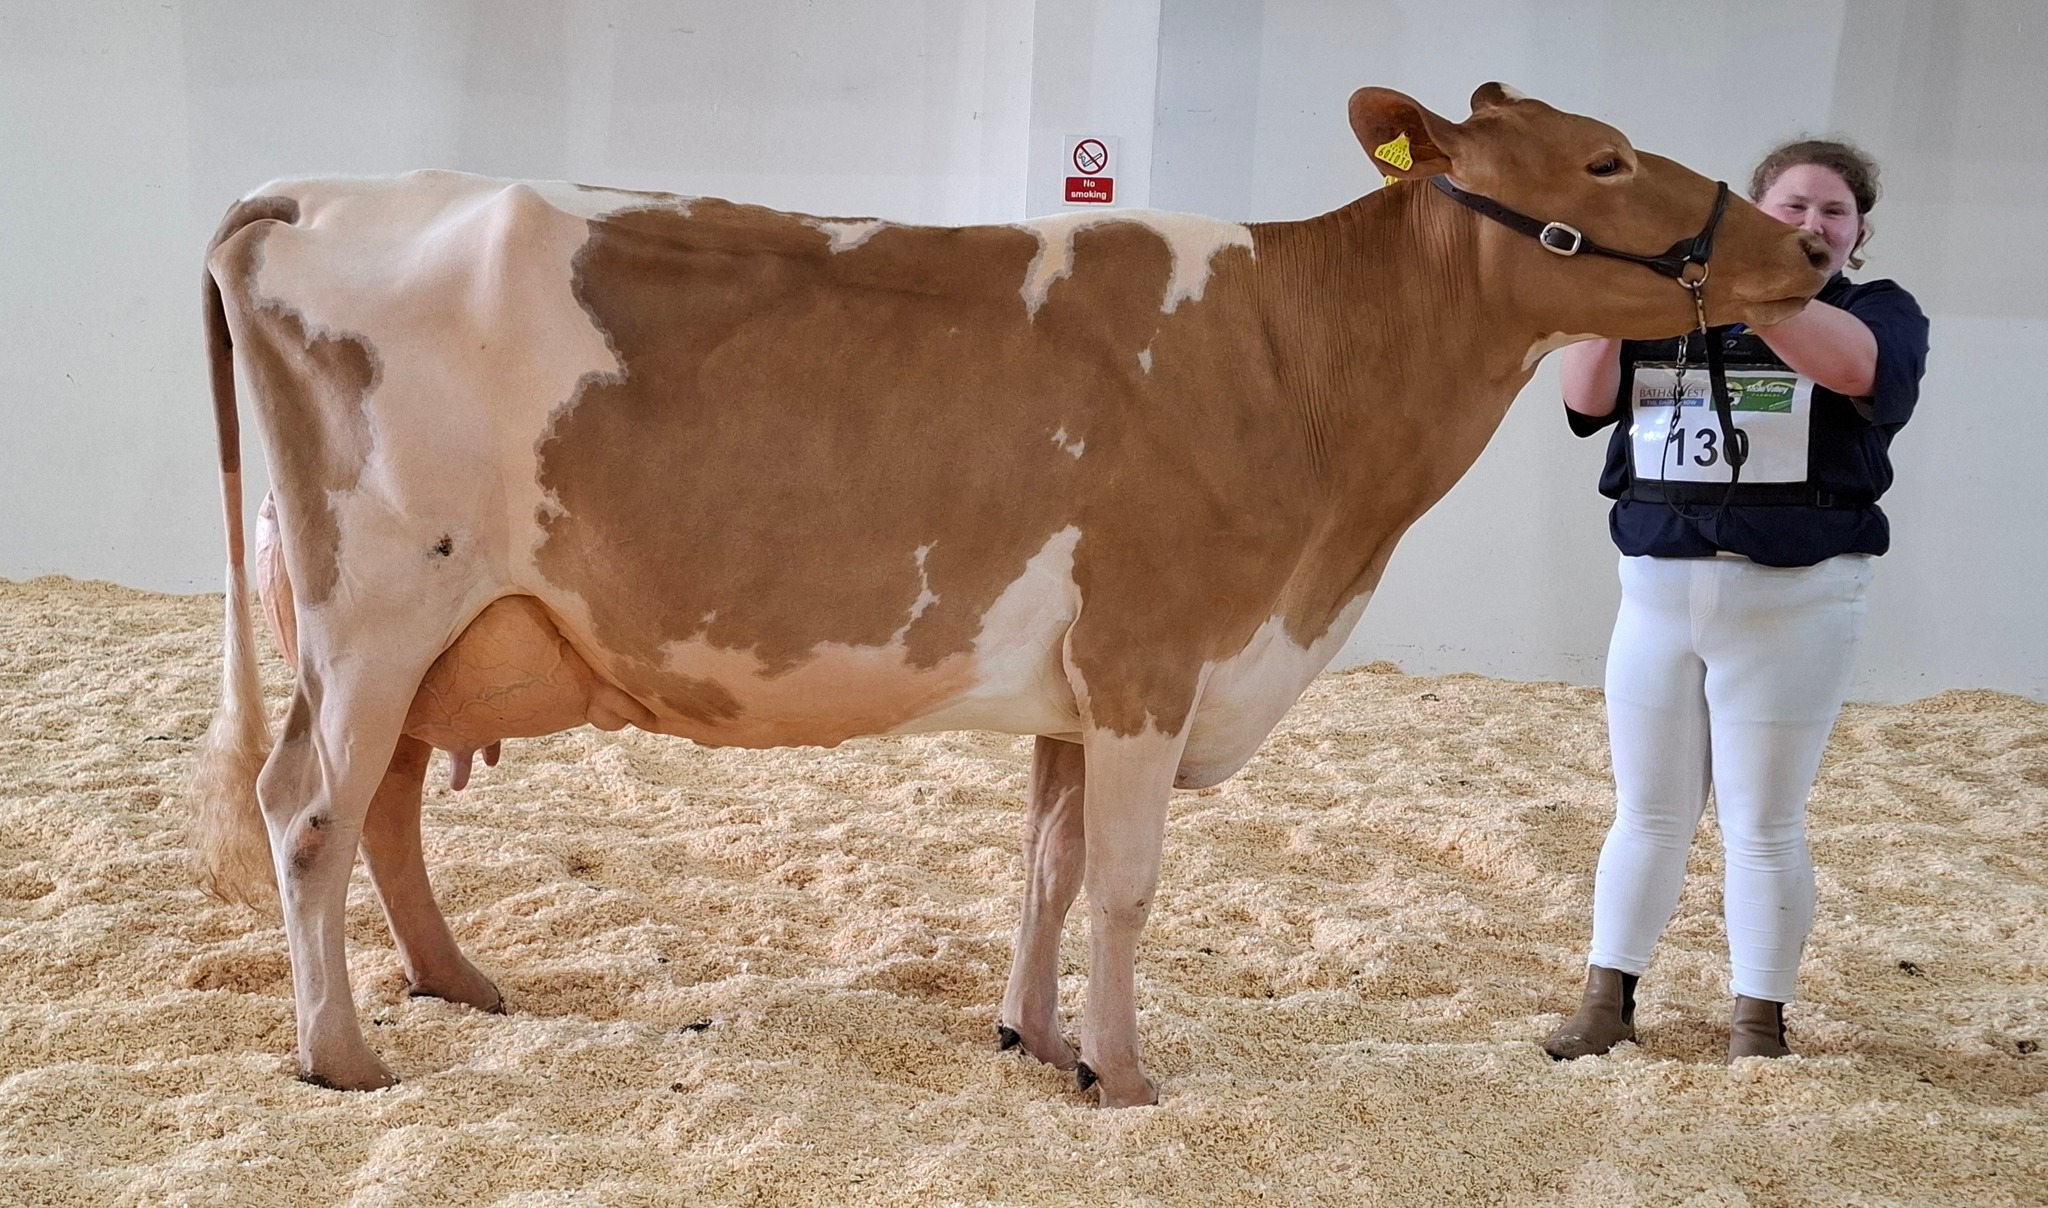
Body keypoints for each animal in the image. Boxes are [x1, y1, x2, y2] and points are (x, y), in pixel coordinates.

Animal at [190, 82, 1830, 1107]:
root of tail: (308, 196)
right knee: (310, 808)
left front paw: (1037, 1042)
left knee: (385, 809)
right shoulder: (1153, 656)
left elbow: (1046, 863)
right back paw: (340, 1056)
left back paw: (456, 983)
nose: (1804, 245)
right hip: (374, 609)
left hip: (429, 639)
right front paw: (1130, 1075)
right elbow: (1122, 880)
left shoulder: (1077, 685)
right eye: (1604, 160)